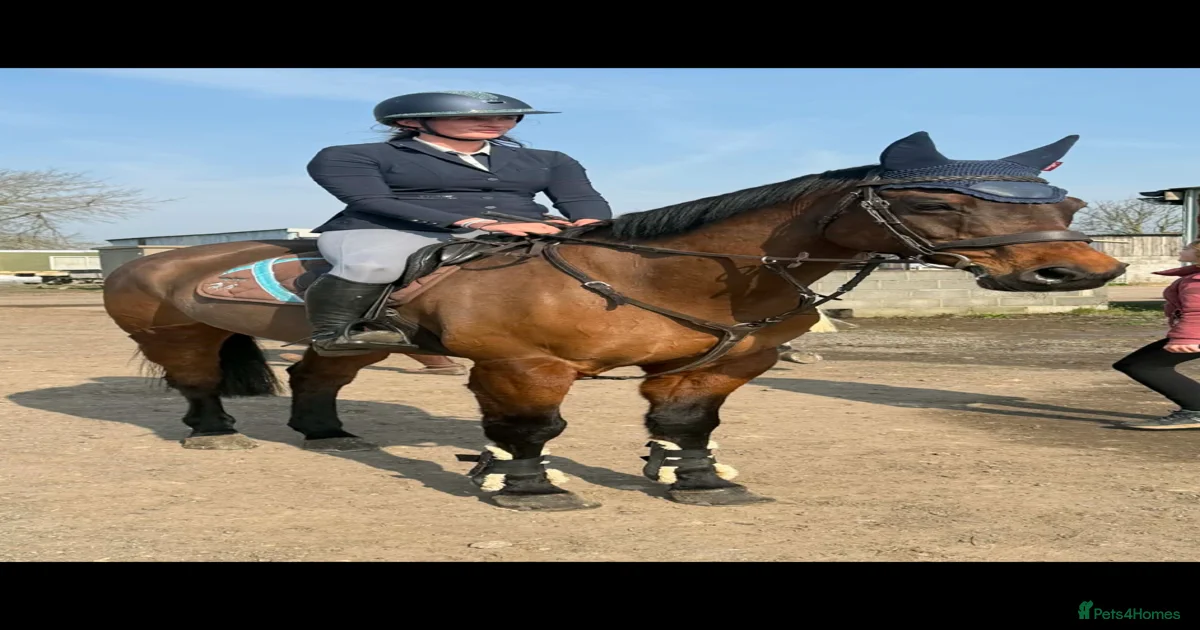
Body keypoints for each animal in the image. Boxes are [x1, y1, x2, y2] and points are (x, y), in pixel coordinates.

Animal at [100, 131, 1127, 511]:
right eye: (940, 204)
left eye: (1064, 200)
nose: (1084, 270)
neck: (648, 271)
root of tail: (153, 253)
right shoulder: (523, 365)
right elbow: (527, 433)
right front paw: (526, 490)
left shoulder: (714, 367)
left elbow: (686, 425)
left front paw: (697, 483)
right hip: (175, 333)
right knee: (198, 382)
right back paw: (214, 435)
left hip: (339, 346)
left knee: (320, 374)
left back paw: (329, 435)